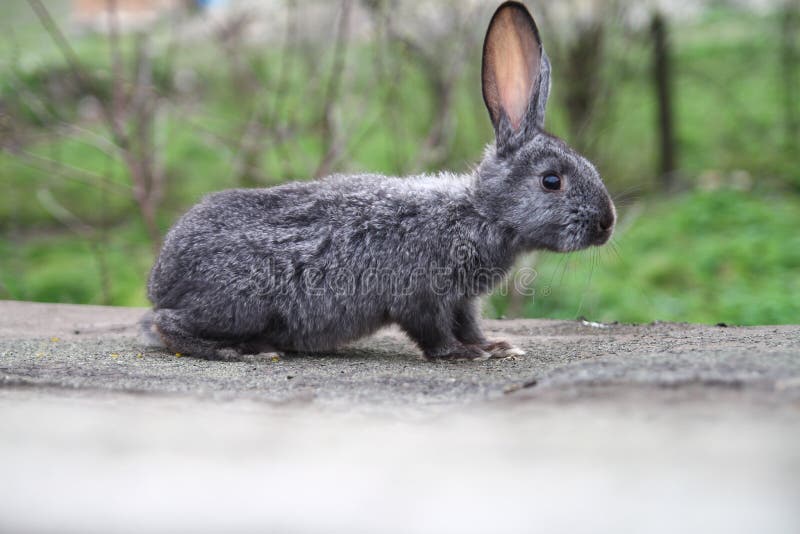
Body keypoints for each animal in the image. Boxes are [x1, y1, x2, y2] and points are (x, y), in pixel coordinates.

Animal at [145, 0, 616, 362]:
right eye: (551, 180)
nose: (607, 223)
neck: (479, 213)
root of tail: (162, 278)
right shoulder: (421, 292)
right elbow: (433, 331)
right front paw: (464, 355)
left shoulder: (462, 301)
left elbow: (468, 324)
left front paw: (494, 346)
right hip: (241, 302)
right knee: (166, 325)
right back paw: (238, 351)